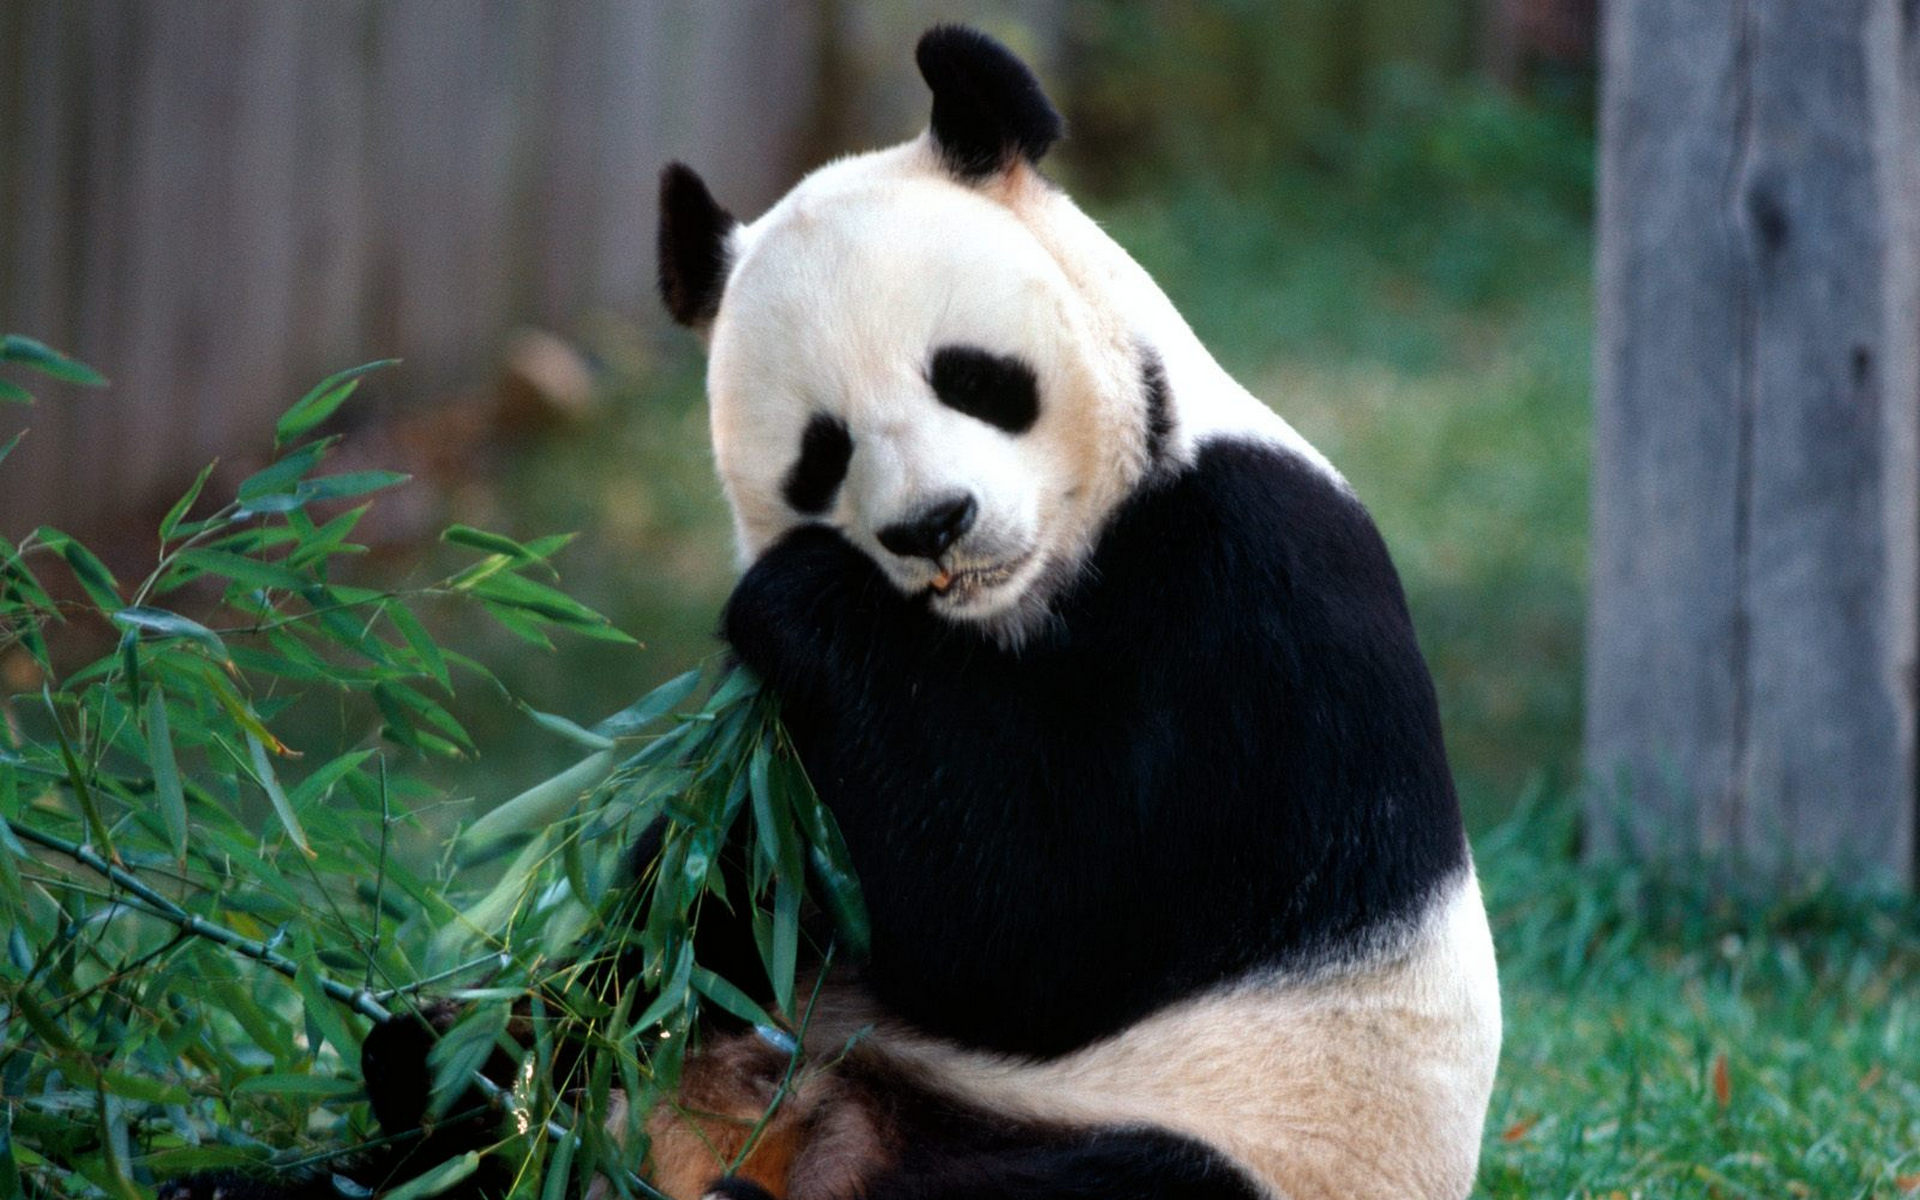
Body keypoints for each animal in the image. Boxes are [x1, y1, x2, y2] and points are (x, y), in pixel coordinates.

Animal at [646, 24, 1502, 1200]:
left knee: (1115, 1179)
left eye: (970, 377)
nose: (934, 525)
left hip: (1248, 1137)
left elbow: (1041, 919)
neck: (1024, 594)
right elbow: (732, 877)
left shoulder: (1253, 596)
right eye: (822, 452)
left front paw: (797, 593)